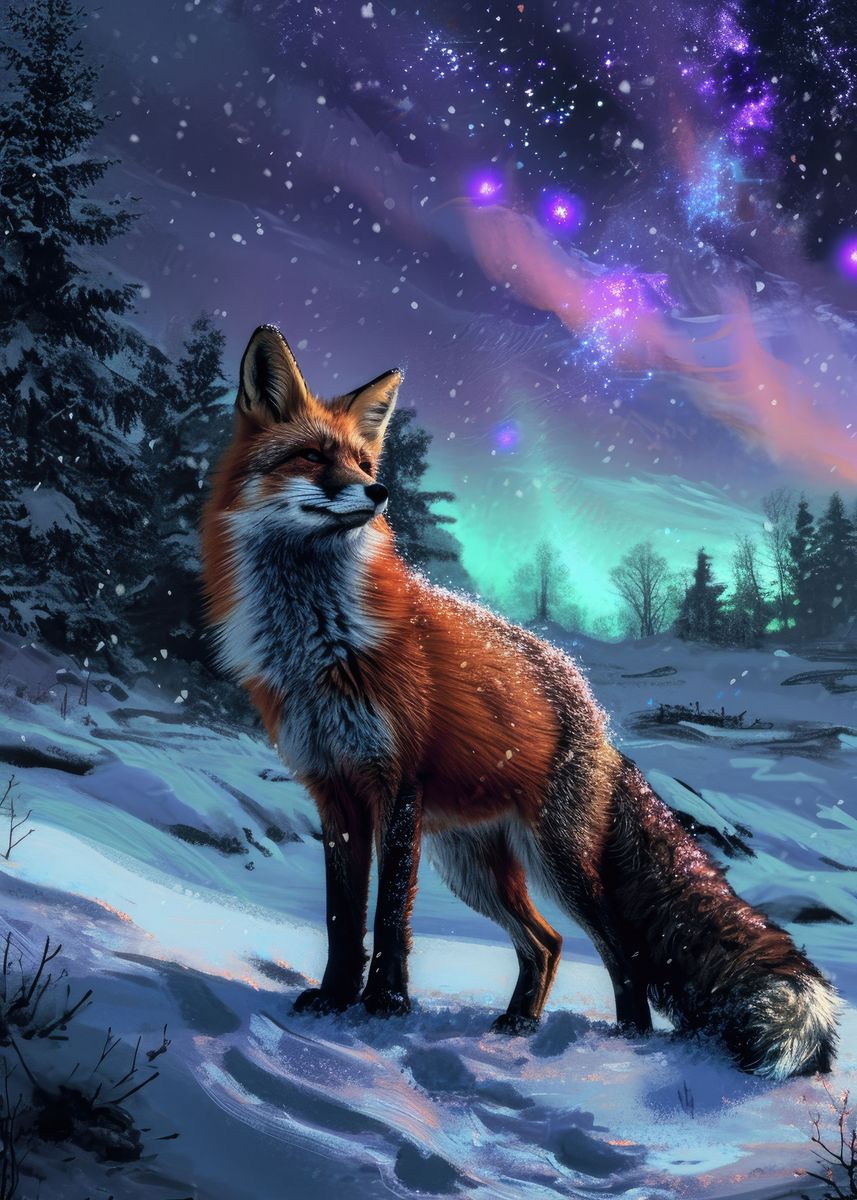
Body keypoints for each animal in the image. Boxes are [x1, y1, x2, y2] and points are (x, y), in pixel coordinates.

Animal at [200, 324, 839, 1080]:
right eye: (311, 457)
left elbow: (388, 918)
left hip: (552, 857)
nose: (378, 491)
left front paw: (386, 1005)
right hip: (473, 868)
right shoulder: (334, 792)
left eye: (362, 460)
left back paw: (625, 1046)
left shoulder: (396, 784)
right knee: (546, 943)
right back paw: (517, 1025)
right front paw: (333, 1002)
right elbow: (340, 919)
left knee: (617, 946)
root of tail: (594, 713)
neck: (320, 645)